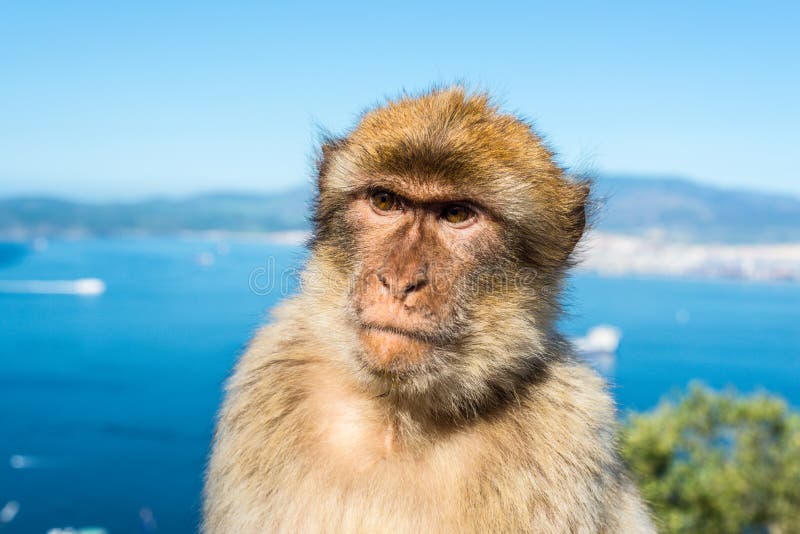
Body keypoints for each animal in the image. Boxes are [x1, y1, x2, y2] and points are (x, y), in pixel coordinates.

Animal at [203, 87, 655, 533]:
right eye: (385, 201)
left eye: (457, 214)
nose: (399, 280)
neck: (396, 417)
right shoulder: (272, 372)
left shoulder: (569, 428)